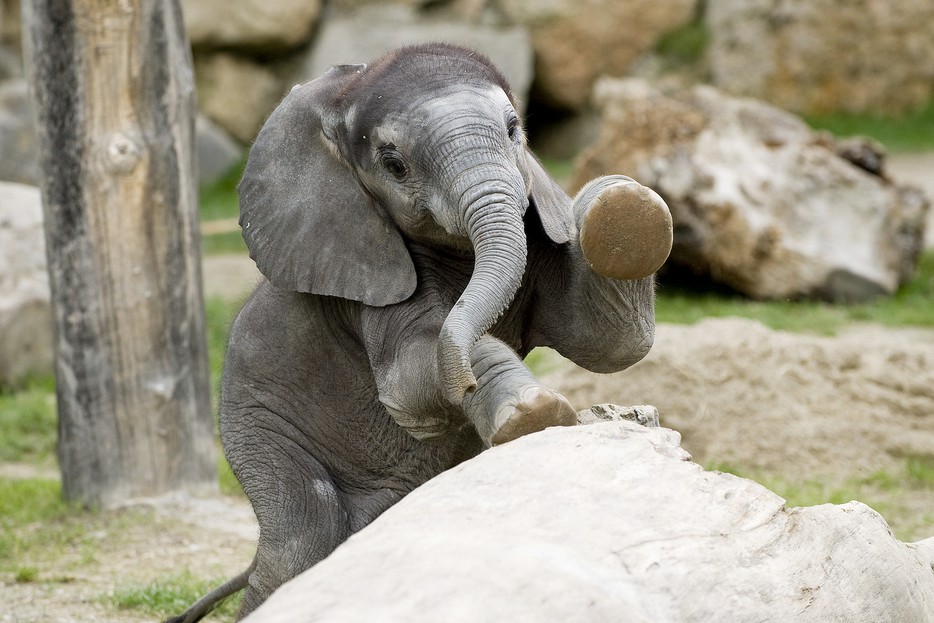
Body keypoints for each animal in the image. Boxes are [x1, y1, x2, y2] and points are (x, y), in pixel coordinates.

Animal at [168, 43, 672, 623]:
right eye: (394, 164)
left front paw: (622, 208)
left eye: (514, 129)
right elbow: (407, 380)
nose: (465, 382)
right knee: (299, 545)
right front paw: (531, 415)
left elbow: (609, 340)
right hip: (256, 429)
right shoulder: (364, 283)